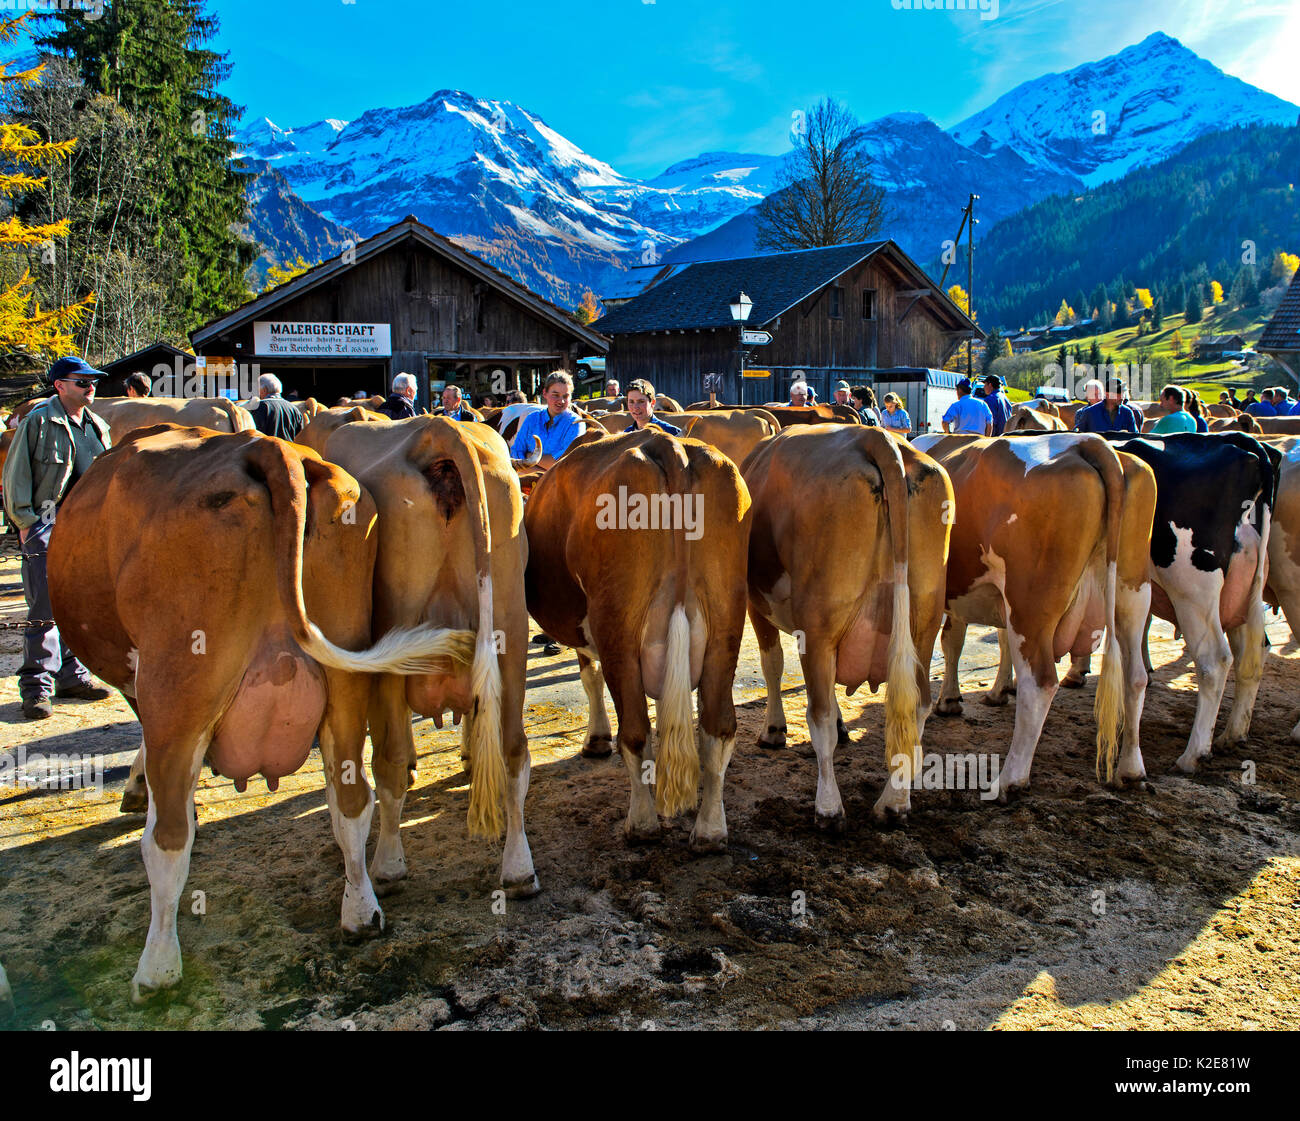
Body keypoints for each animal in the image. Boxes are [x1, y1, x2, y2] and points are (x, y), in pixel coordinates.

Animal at [48, 425, 482, 1002]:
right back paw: (361, 911)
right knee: (352, 800)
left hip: (179, 687)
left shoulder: (146, 688)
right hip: (343, 680)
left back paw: (157, 968)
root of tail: (264, 447)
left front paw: (140, 790)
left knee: (167, 841)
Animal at [305, 414, 538, 898]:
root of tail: (439, 430)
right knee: (513, 750)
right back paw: (518, 867)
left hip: (395, 644)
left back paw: (388, 865)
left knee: (389, 763)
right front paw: (469, 756)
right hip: (510, 622)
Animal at [524, 428, 752, 850]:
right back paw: (710, 830)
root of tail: (668, 445)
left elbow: (590, 676)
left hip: (618, 628)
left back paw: (642, 823)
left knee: (634, 732)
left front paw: (596, 739)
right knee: (718, 728)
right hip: (726, 623)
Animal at [743, 427, 952, 824]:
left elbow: (772, 663)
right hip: (924, 623)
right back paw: (894, 801)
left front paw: (773, 730)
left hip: (820, 622)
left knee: (819, 714)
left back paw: (828, 807)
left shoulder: (756, 603)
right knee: (917, 704)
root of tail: (875, 437)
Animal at [913, 432, 1155, 793]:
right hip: (1132, 589)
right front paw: (961, 698)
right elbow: (959, 641)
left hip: (1029, 603)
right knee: (1135, 676)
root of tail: (1087, 442)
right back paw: (1132, 768)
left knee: (1039, 683)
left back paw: (1009, 780)